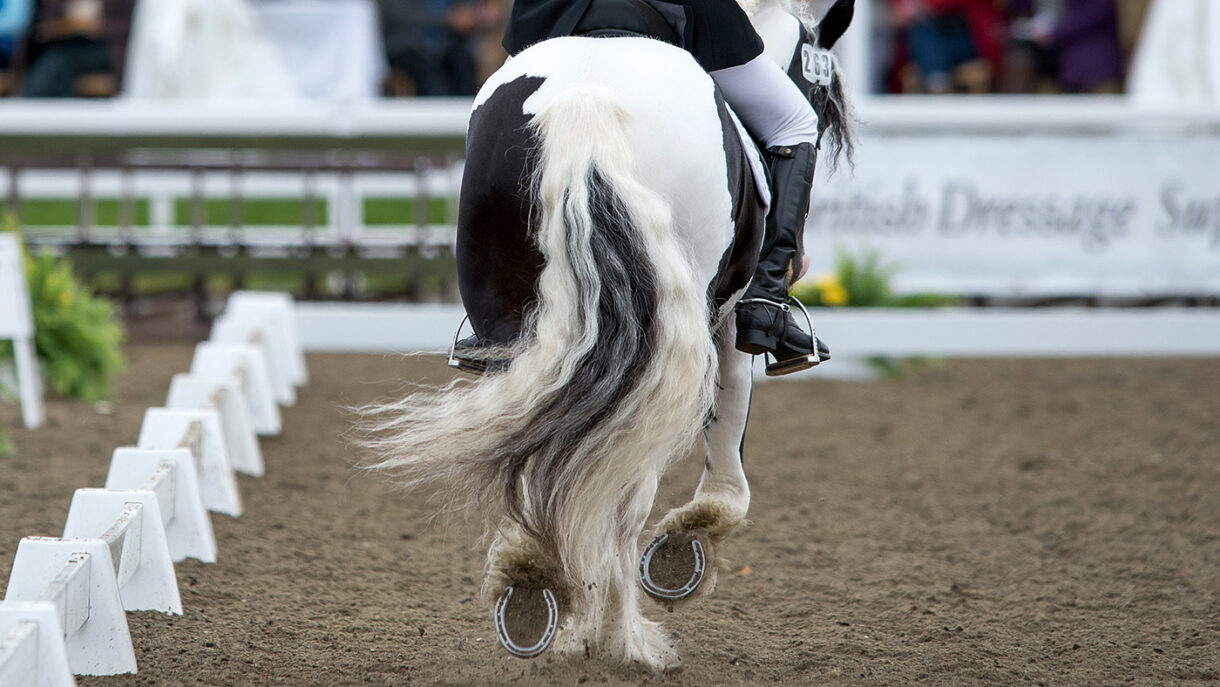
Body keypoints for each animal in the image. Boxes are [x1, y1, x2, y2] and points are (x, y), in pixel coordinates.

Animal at [360, 0, 856, 671]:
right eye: (821, 92)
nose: (798, 261)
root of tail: (586, 101)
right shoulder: (725, 323)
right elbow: (726, 439)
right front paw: (684, 548)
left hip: (515, 325)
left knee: (531, 451)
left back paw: (531, 584)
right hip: (673, 334)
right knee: (626, 484)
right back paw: (627, 642)